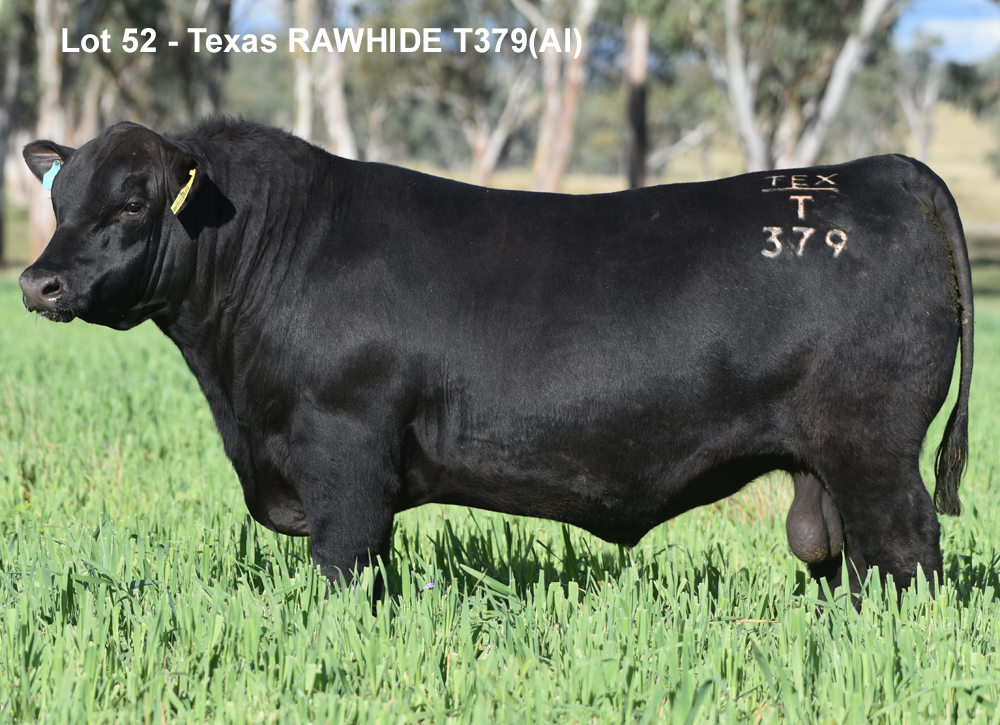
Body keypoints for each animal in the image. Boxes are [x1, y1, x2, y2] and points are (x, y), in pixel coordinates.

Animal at [19, 119, 972, 600]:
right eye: (60, 197)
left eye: (133, 200)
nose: (38, 282)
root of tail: (877, 169)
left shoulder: (343, 449)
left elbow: (344, 565)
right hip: (830, 466)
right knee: (849, 556)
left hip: (873, 448)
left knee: (908, 546)